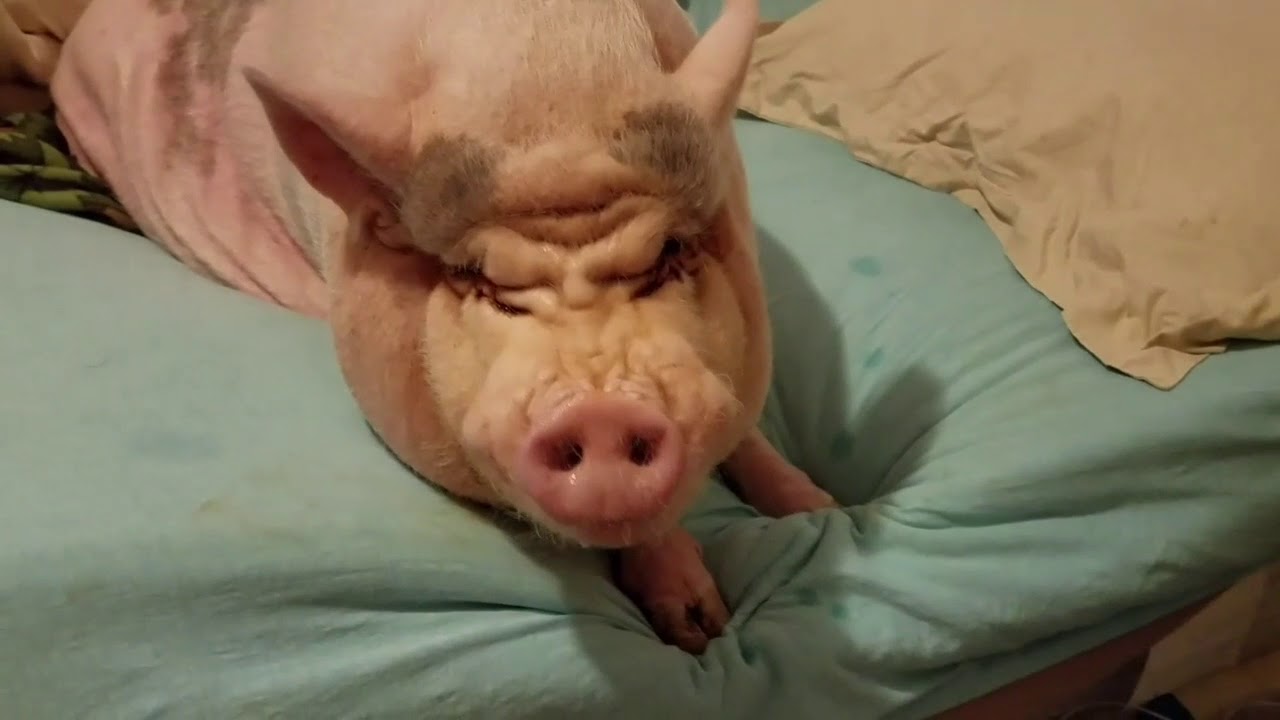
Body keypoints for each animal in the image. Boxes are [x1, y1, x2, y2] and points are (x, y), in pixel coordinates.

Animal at [50, 0, 838, 653]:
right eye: (477, 279)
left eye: (670, 255)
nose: (604, 412)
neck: (548, 85)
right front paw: (698, 629)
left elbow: (750, 433)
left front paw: (815, 513)